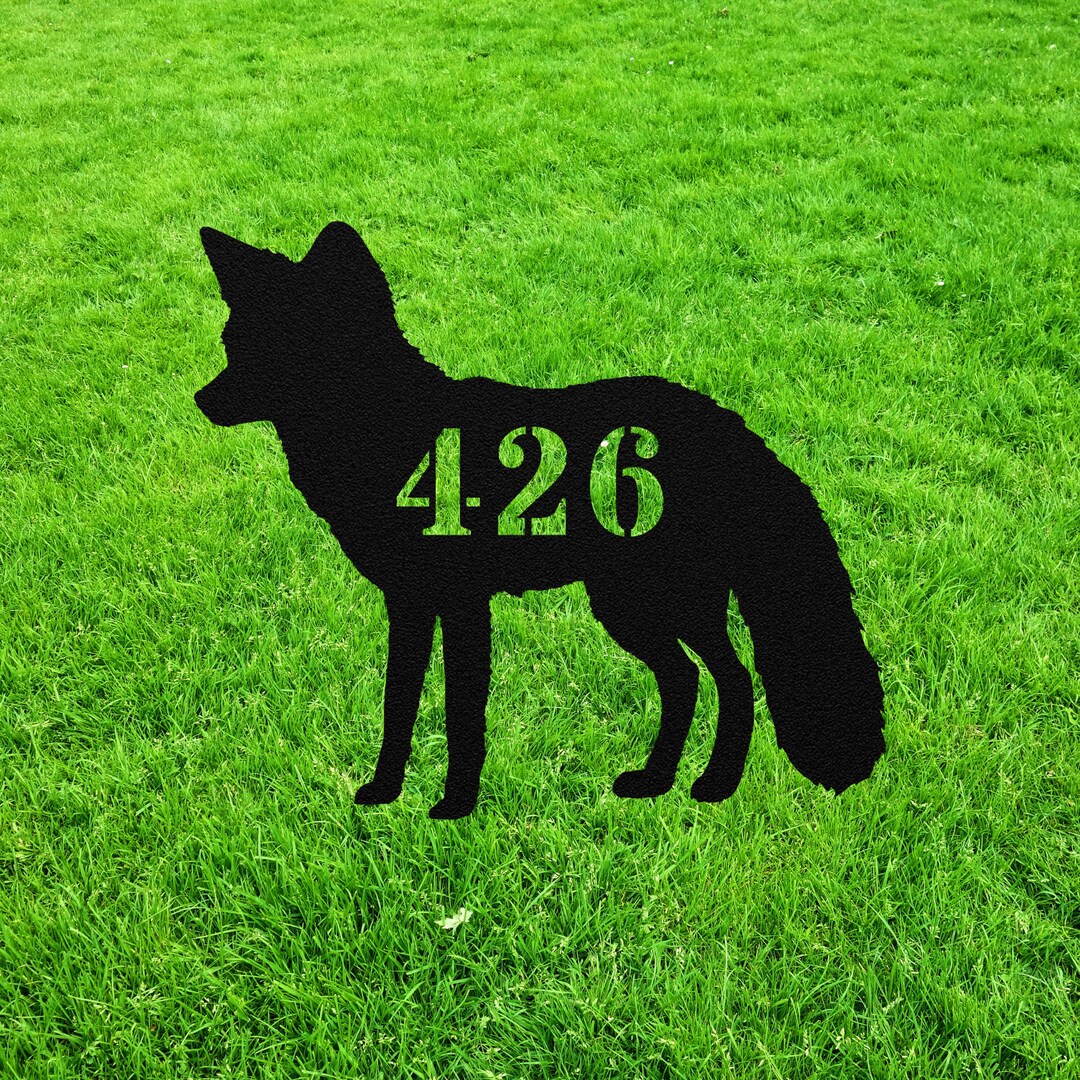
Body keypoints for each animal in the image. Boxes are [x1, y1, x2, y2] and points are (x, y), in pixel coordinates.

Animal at [195, 221, 885, 819]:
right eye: (235, 345)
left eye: (280, 351)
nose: (199, 401)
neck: (396, 431)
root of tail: (729, 427)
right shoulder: (409, 605)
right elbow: (399, 703)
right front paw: (385, 791)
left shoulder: (463, 604)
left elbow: (462, 711)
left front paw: (454, 806)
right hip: (634, 606)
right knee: (689, 678)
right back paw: (657, 780)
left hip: (652, 603)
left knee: (732, 679)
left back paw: (711, 785)